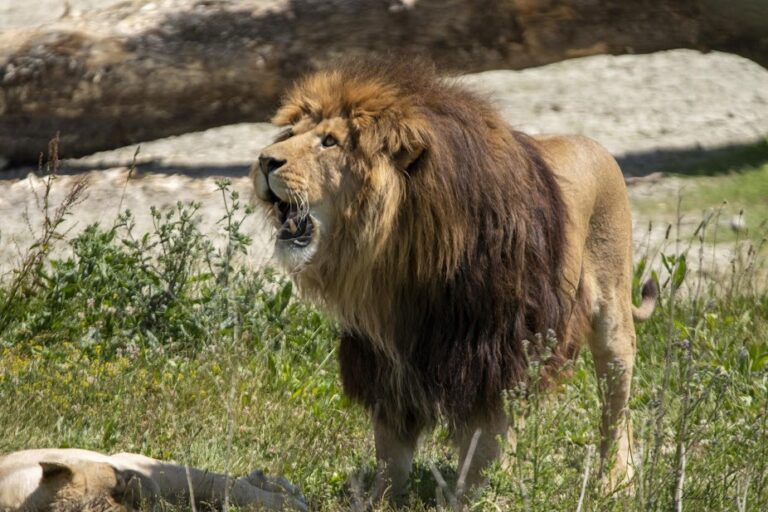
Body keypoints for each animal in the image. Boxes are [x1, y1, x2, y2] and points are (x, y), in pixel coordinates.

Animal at [250, 58, 657, 501]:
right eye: (291, 133)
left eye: (329, 142)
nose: (264, 161)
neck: (399, 254)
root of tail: (593, 145)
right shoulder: (385, 356)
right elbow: (390, 448)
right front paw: (378, 499)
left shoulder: (493, 348)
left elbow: (486, 443)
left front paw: (478, 498)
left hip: (612, 317)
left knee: (617, 404)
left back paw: (616, 478)